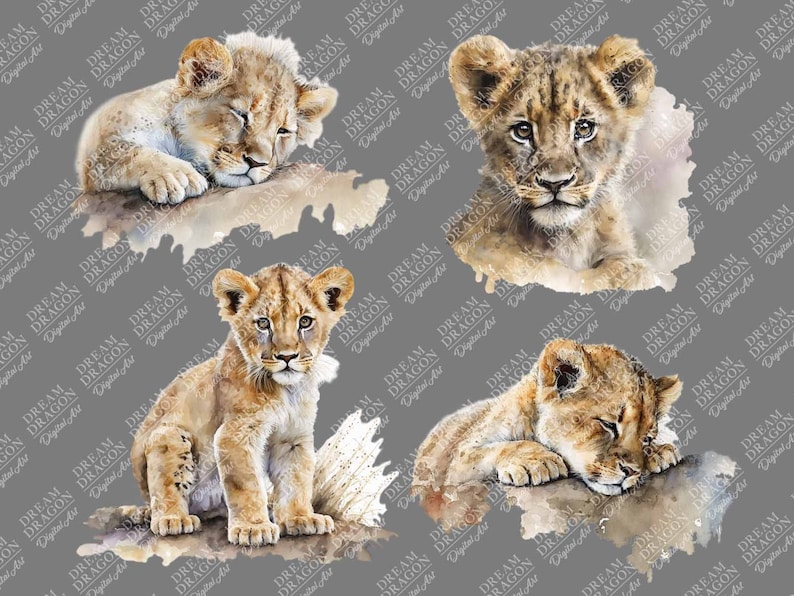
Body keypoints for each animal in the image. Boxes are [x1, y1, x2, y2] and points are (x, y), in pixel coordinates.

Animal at [76, 32, 337, 204]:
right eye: (241, 115)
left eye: (282, 131)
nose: (258, 163)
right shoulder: (97, 148)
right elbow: (126, 151)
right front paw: (178, 176)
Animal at [122, 264, 364, 546]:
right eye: (263, 323)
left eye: (305, 321)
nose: (287, 356)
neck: (285, 391)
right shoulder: (235, 433)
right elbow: (246, 483)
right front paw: (253, 528)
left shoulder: (293, 438)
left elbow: (297, 480)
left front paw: (301, 518)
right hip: (168, 435)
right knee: (166, 489)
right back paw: (172, 519)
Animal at [413, 339, 682, 499]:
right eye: (608, 425)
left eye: (646, 438)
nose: (631, 471)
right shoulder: (455, 465)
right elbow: (501, 447)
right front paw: (538, 462)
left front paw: (661, 453)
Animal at [447, 35, 659, 292]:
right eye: (523, 130)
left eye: (584, 128)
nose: (555, 183)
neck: (568, 238)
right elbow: (540, 270)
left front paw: (629, 271)